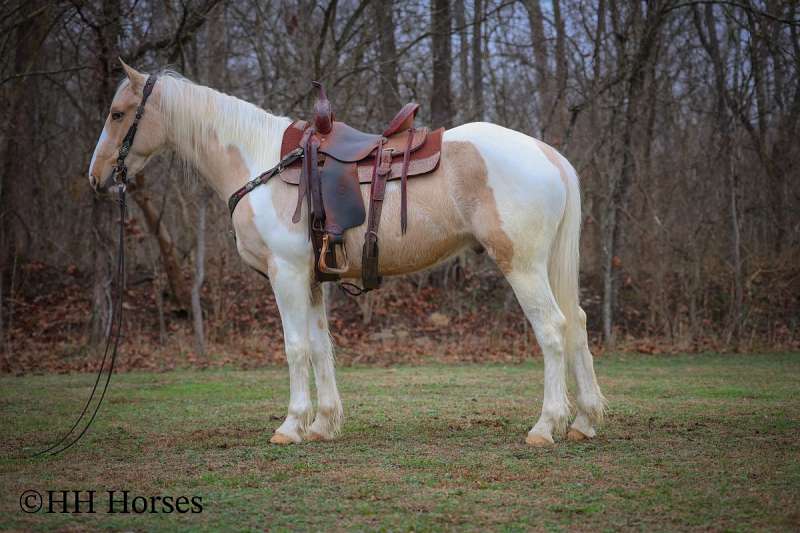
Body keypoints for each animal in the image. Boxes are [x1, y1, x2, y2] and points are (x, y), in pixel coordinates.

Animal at [88, 61, 606, 447]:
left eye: (118, 113)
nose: (97, 176)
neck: (260, 163)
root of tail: (547, 154)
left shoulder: (287, 275)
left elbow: (296, 348)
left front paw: (290, 425)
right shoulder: (313, 280)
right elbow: (321, 347)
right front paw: (322, 424)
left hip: (522, 266)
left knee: (553, 329)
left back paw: (546, 426)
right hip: (546, 267)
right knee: (577, 325)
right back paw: (583, 421)